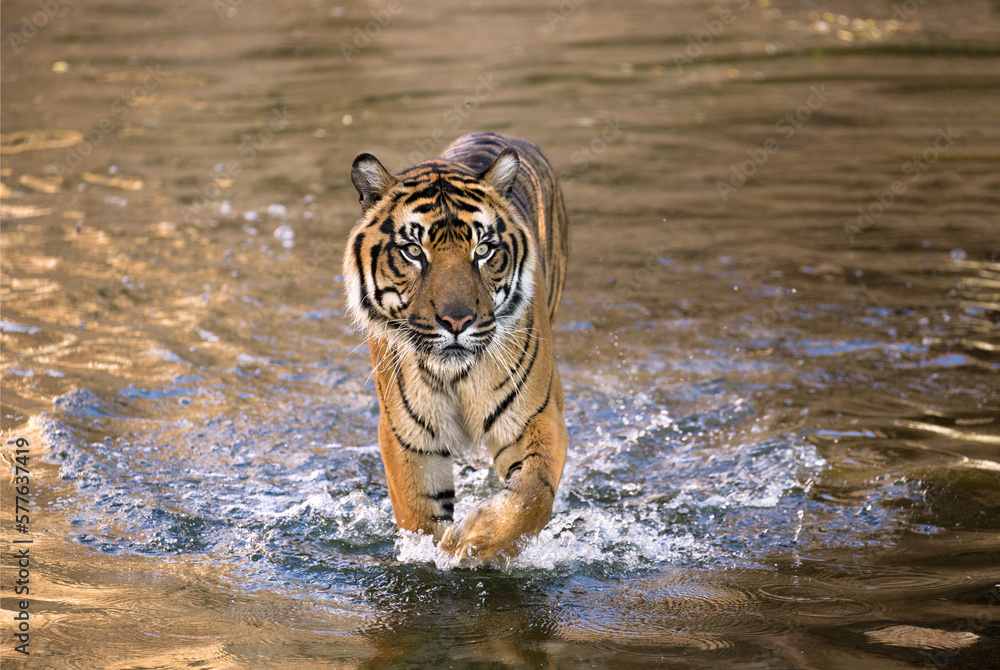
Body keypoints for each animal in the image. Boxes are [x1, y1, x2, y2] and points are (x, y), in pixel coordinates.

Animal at [342, 132, 570, 565]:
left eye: (482, 251)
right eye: (414, 251)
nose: (457, 321)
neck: (455, 374)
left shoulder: (536, 415)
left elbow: (532, 495)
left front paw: (472, 540)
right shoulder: (407, 435)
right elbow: (418, 513)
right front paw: (434, 549)